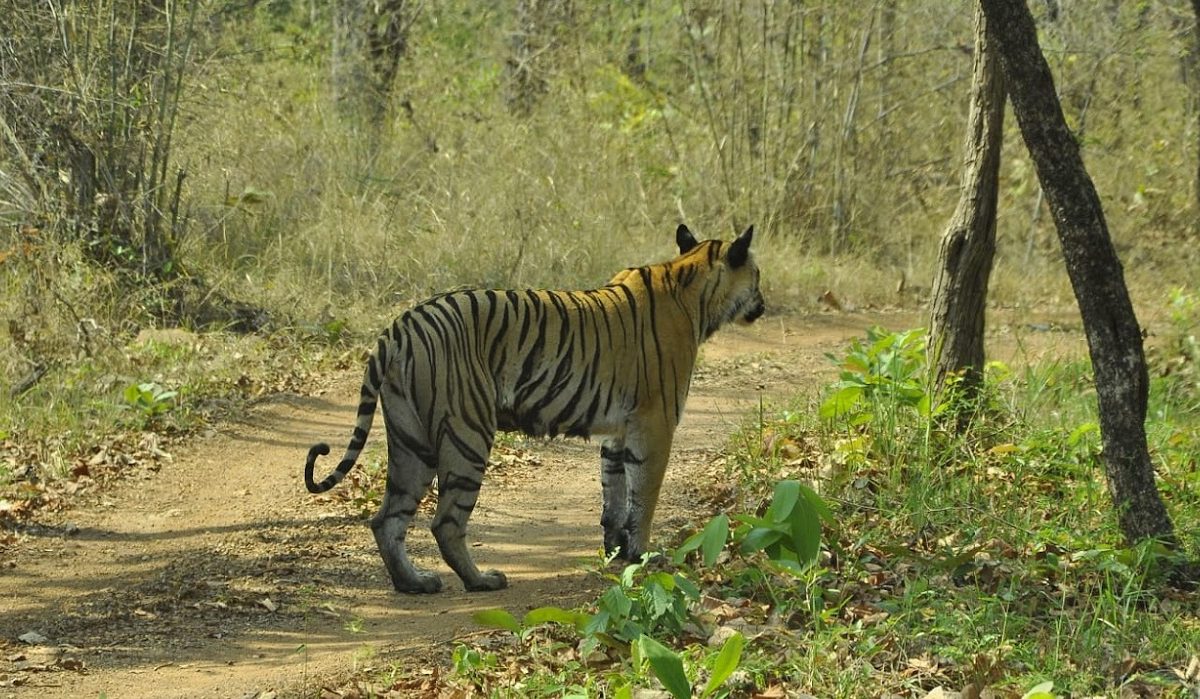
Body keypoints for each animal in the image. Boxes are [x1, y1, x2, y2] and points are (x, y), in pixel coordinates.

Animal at [304, 224, 764, 594]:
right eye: (758, 276)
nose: (762, 304)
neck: (694, 285)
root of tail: (398, 328)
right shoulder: (655, 423)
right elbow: (644, 495)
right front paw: (643, 556)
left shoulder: (619, 429)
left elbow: (613, 493)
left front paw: (616, 552)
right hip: (467, 432)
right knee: (445, 522)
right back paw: (480, 581)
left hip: (410, 439)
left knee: (387, 519)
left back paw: (414, 583)